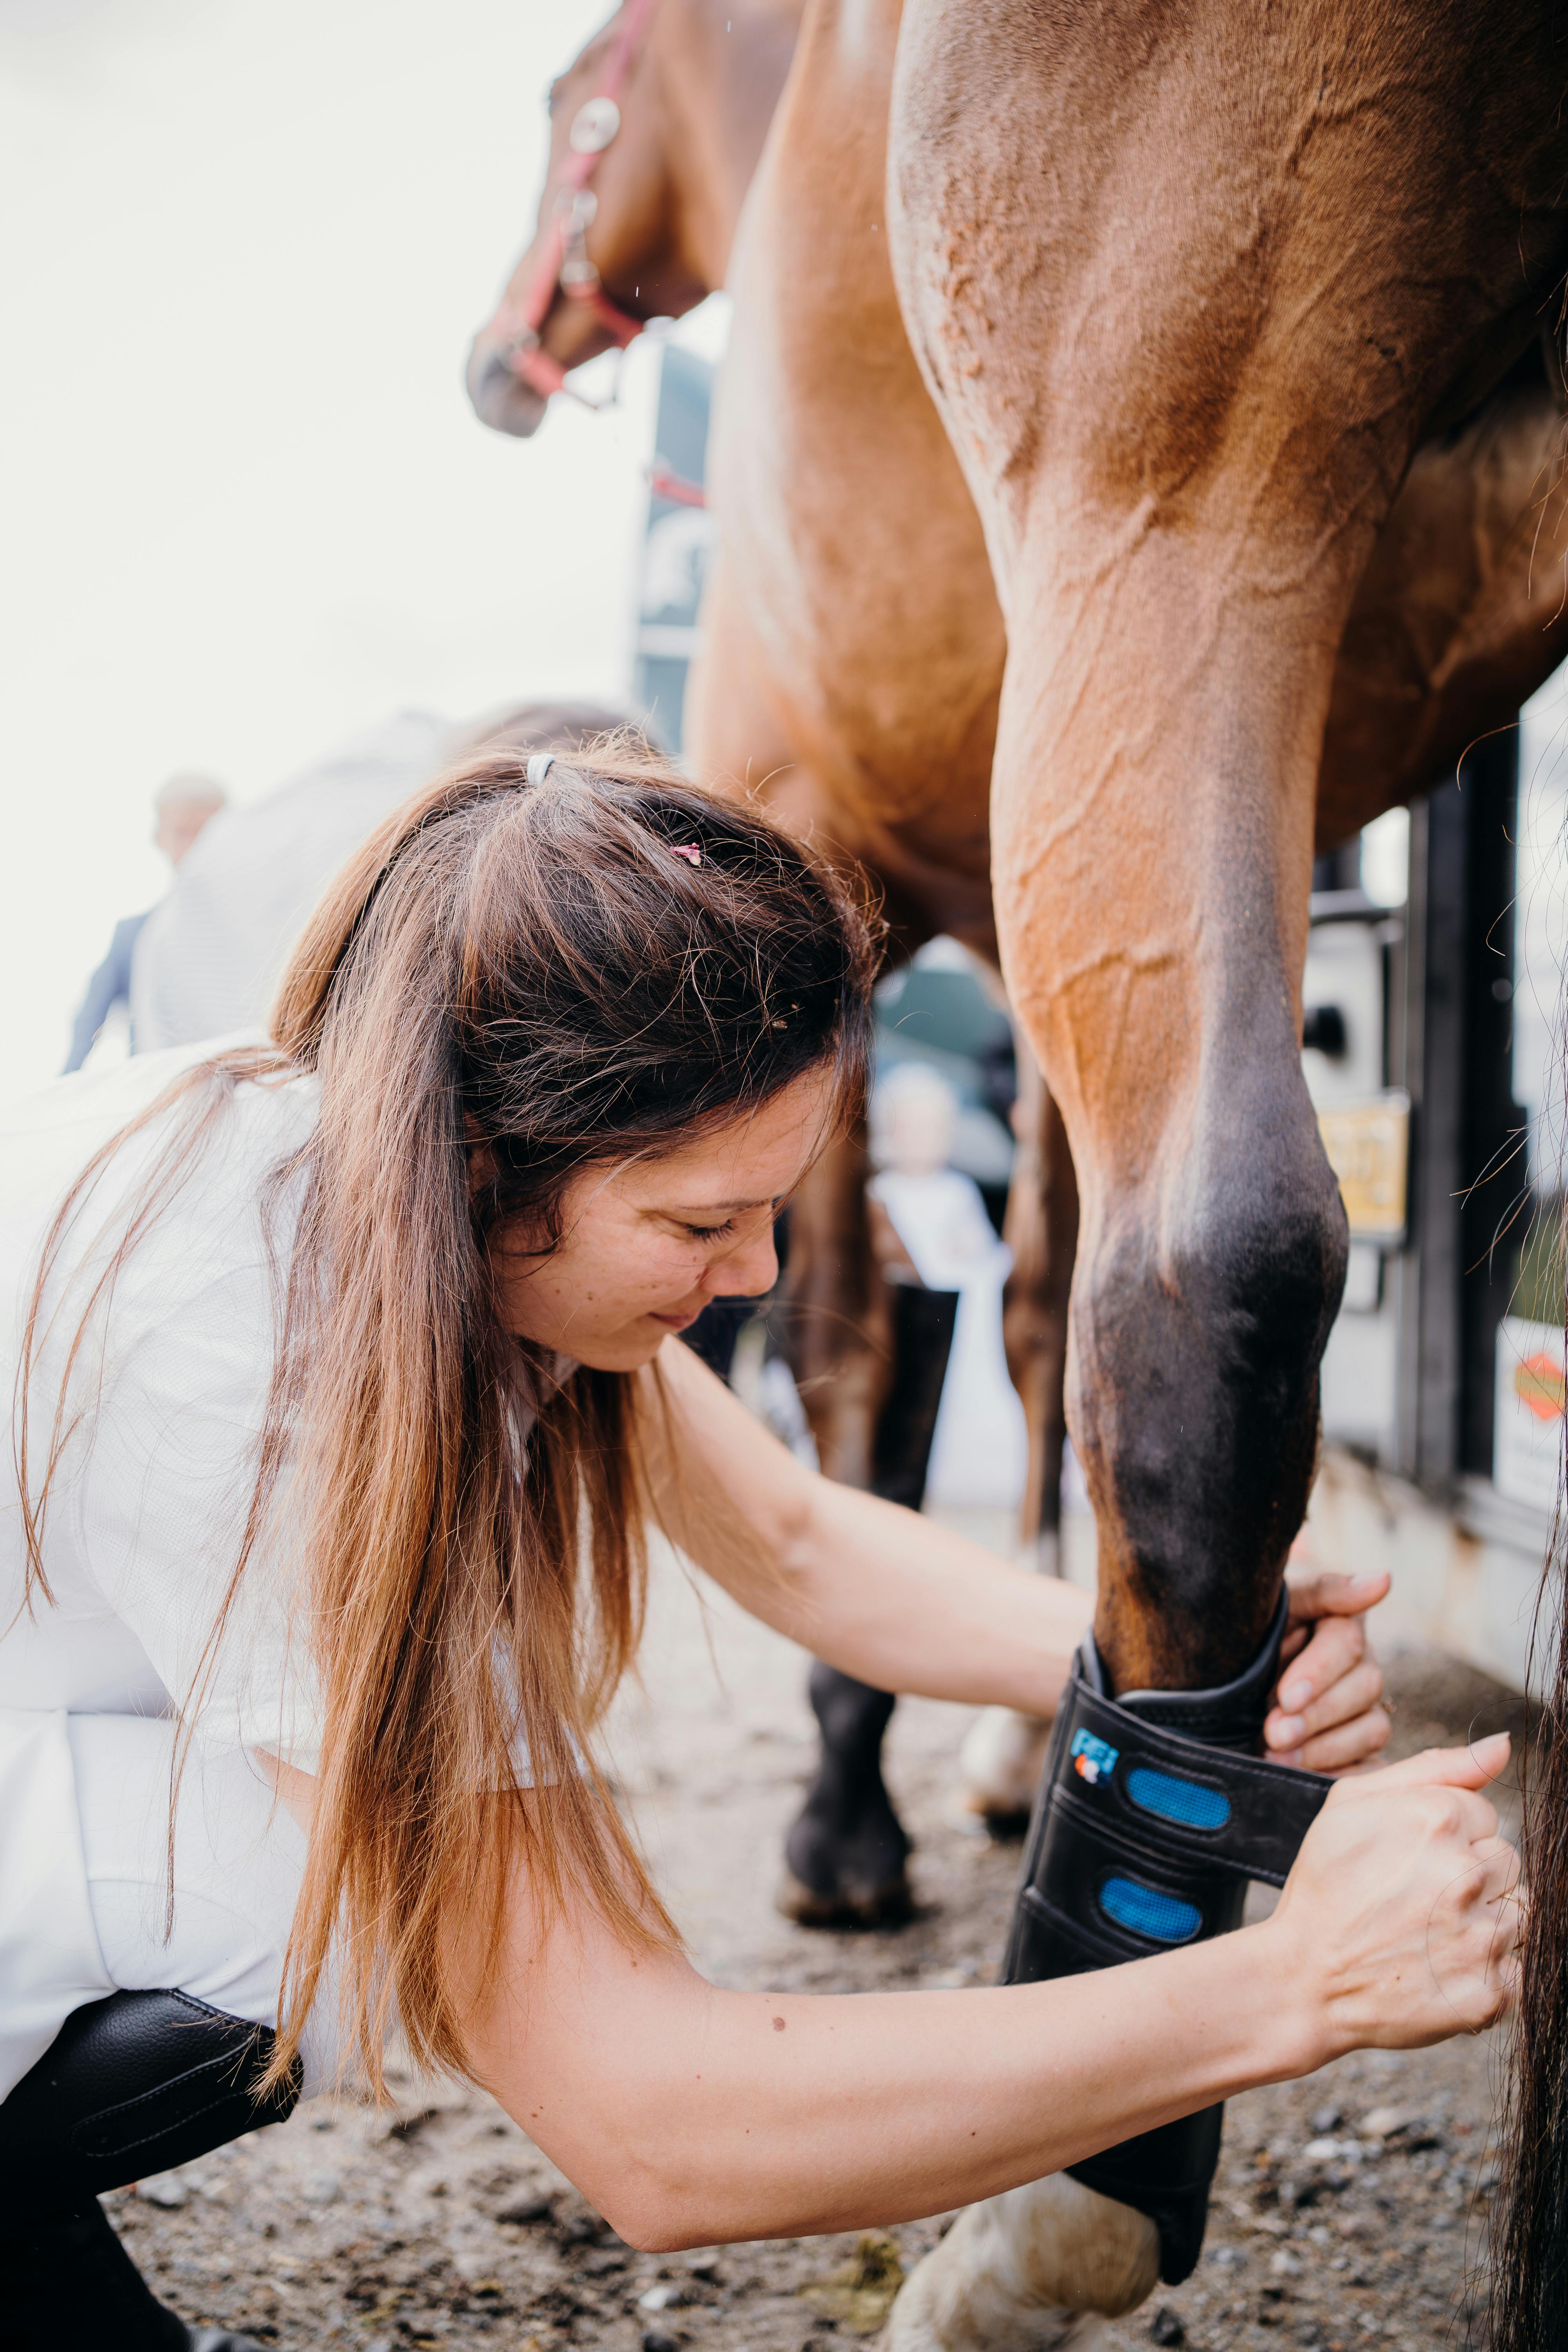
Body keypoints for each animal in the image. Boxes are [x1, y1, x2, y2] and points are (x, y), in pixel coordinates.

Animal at [690, 0, 1568, 2337]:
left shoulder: (798, 845)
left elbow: (841, 1350)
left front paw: (850, 1822)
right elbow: (980, 1336)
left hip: (1179, 492)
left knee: (1208, 1264)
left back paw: (1055, 2193)